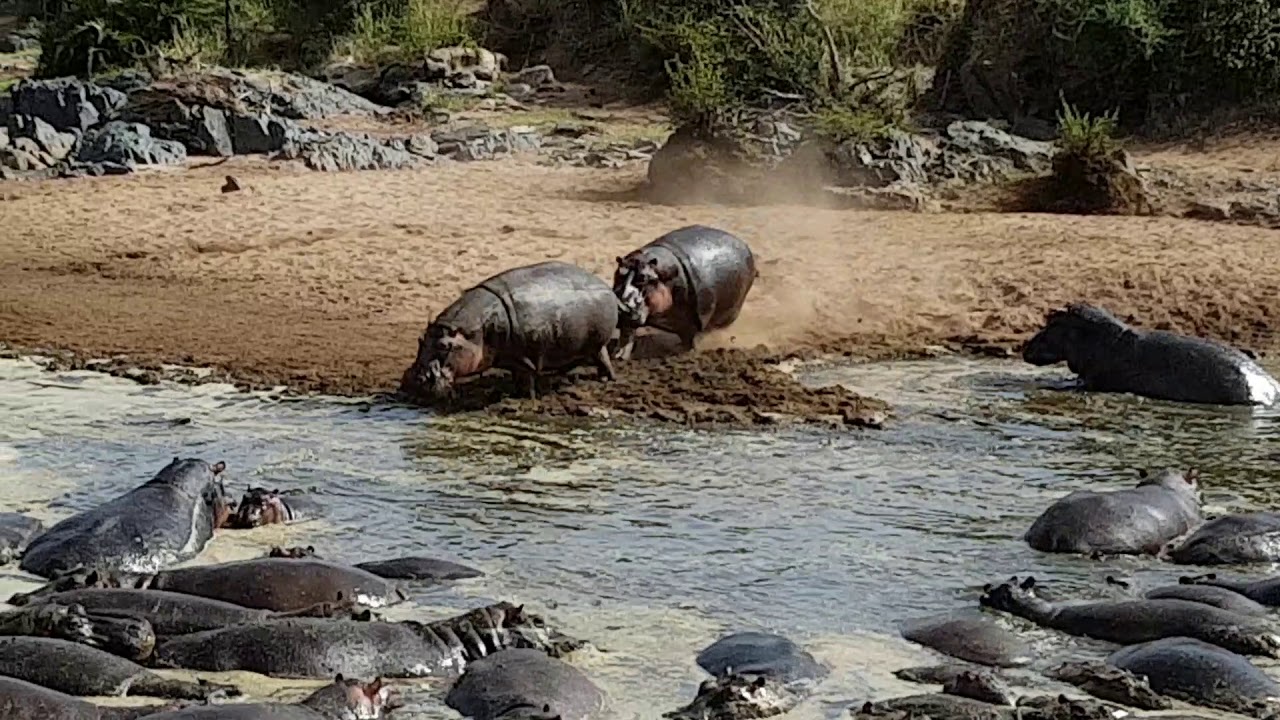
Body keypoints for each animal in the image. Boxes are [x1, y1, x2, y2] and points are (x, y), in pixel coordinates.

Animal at [400, 261, 619, 401]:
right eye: (420, 339)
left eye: (445, 346)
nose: (414, 381)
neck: (477, 330)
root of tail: (602, 283)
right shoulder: (512, 359)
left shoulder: (525, 359)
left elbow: (526, 380)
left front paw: (523, 398)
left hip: (597, 344)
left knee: (603, 360)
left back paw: (605, 379)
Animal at [612, 225, 757, 360]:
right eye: (619, 273)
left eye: (644, 278)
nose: (620, 306)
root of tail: (745, 245)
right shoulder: (629, 320)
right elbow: (626, 336)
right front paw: (620, 355)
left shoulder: (691, 325)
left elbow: (688, 343)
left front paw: (681, 355)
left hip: (731, 312)